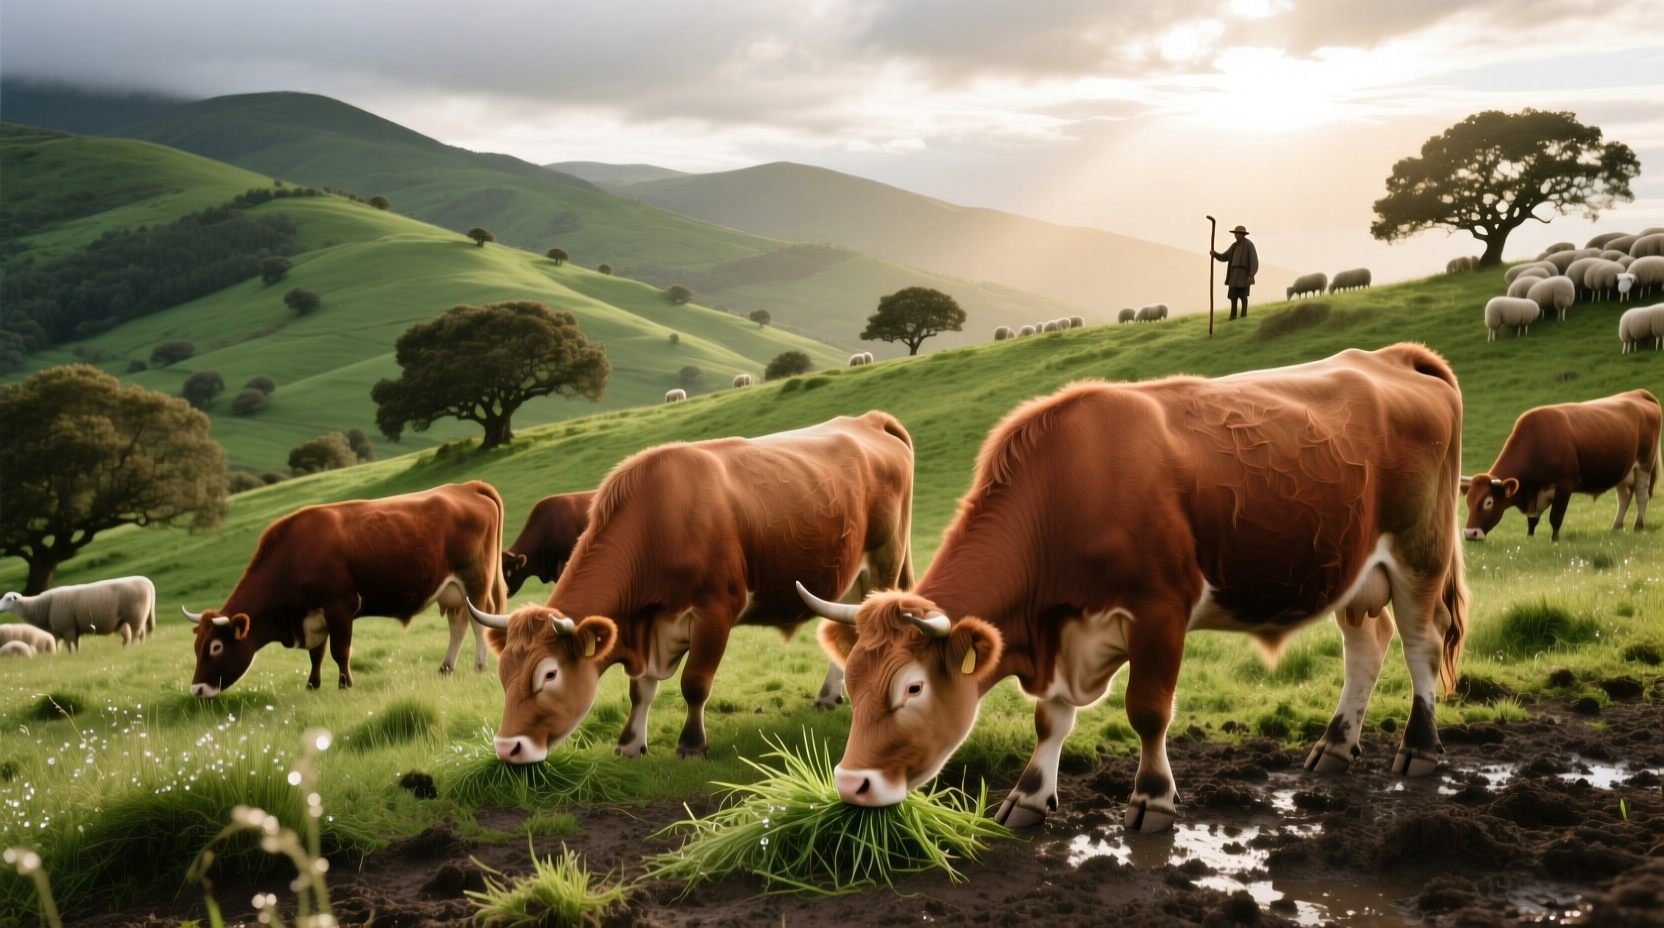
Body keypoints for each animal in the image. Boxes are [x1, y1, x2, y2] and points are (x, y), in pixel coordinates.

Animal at [0, 576, 155, 650]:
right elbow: (74, 645)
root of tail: (147, 582)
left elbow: (68, 646)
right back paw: (141, 647)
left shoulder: (66, 628)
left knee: (136, 633)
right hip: (140, 617)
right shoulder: (71, 629)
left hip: (136, 616)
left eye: (8, 599)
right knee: (141, 633)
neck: (39, 607)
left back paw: (133, 647)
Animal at [184, 481, 507, 695]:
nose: (197, 689)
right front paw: (312, 685)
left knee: (479, 624)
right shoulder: (314, 616)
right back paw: (446, 667)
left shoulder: (340, 607)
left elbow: (340, 651)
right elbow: (316, 654)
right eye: (196, 646)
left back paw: (479, 665)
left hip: (475, 584)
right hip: (452, 591)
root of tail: (466, 487)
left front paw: (345, 684)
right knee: (458, 625)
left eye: (215, 647)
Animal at [467, 412, 916, 763]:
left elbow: (694, 684)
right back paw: (827, 696)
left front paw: (691, 744)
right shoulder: (648, 628)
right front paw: (630, 743)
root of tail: (868, 420)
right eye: (504, 674)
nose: (508, 747)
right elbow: (640, 690)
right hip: (847, 579)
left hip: (884, 563)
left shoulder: (715, 611)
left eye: (549, 674)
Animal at [799, 344, 1468, 834]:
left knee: (1421, 645)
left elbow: (1147, 710)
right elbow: (1050, 720)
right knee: (1367, 648)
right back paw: (1334, 746)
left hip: (1420, 553)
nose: (853, 784)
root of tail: (1393, 357)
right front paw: (1029, 797)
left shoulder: (1160, 611)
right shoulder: (1064, 632)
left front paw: (1152, 800)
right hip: (1356, 574)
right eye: (851, 683)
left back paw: (1420, 750)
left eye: (913, 687)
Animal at [1462, 390, 1661, 542]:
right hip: (1622, 470)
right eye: (1468, 500)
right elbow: (1532, 520)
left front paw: (1554, 540)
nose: (1470, 533)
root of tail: (1639, 393)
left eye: (1488, 502)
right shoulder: (1536, 493)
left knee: (1641, 497)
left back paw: (1638, 525)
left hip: (1644, 464)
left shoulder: (1565, 484)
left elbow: (1555, 517)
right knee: (1624, 498)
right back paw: (1616, 526)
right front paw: (1530, 538)